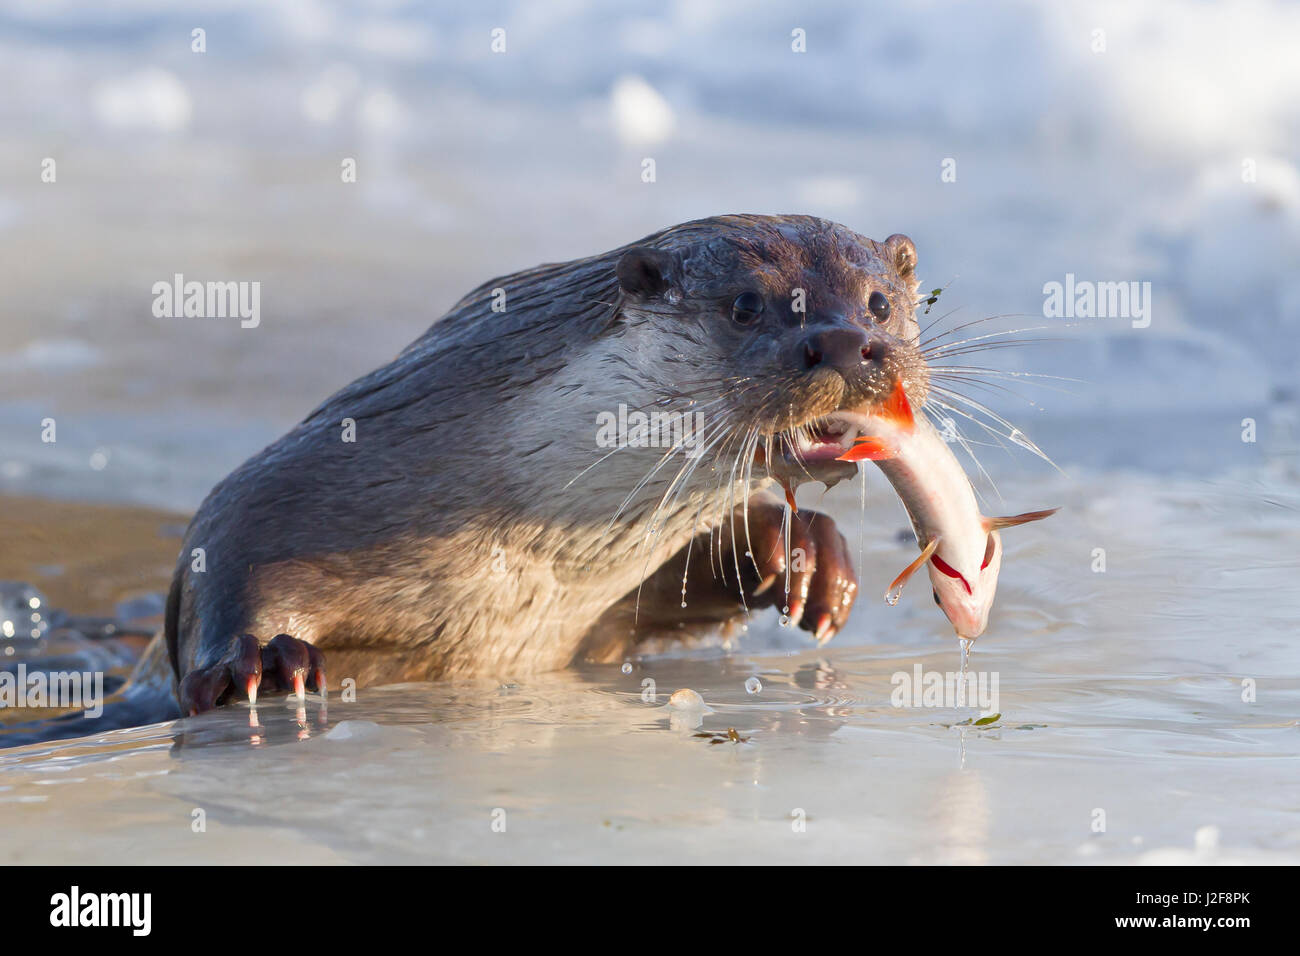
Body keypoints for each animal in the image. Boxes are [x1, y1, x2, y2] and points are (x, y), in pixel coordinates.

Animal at [125, 215, 930, 720]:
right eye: (744, 306)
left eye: (879, 303)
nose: (846, 343)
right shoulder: (303, 475)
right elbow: (226, 535)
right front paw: (259, 661)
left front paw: (806, 555)